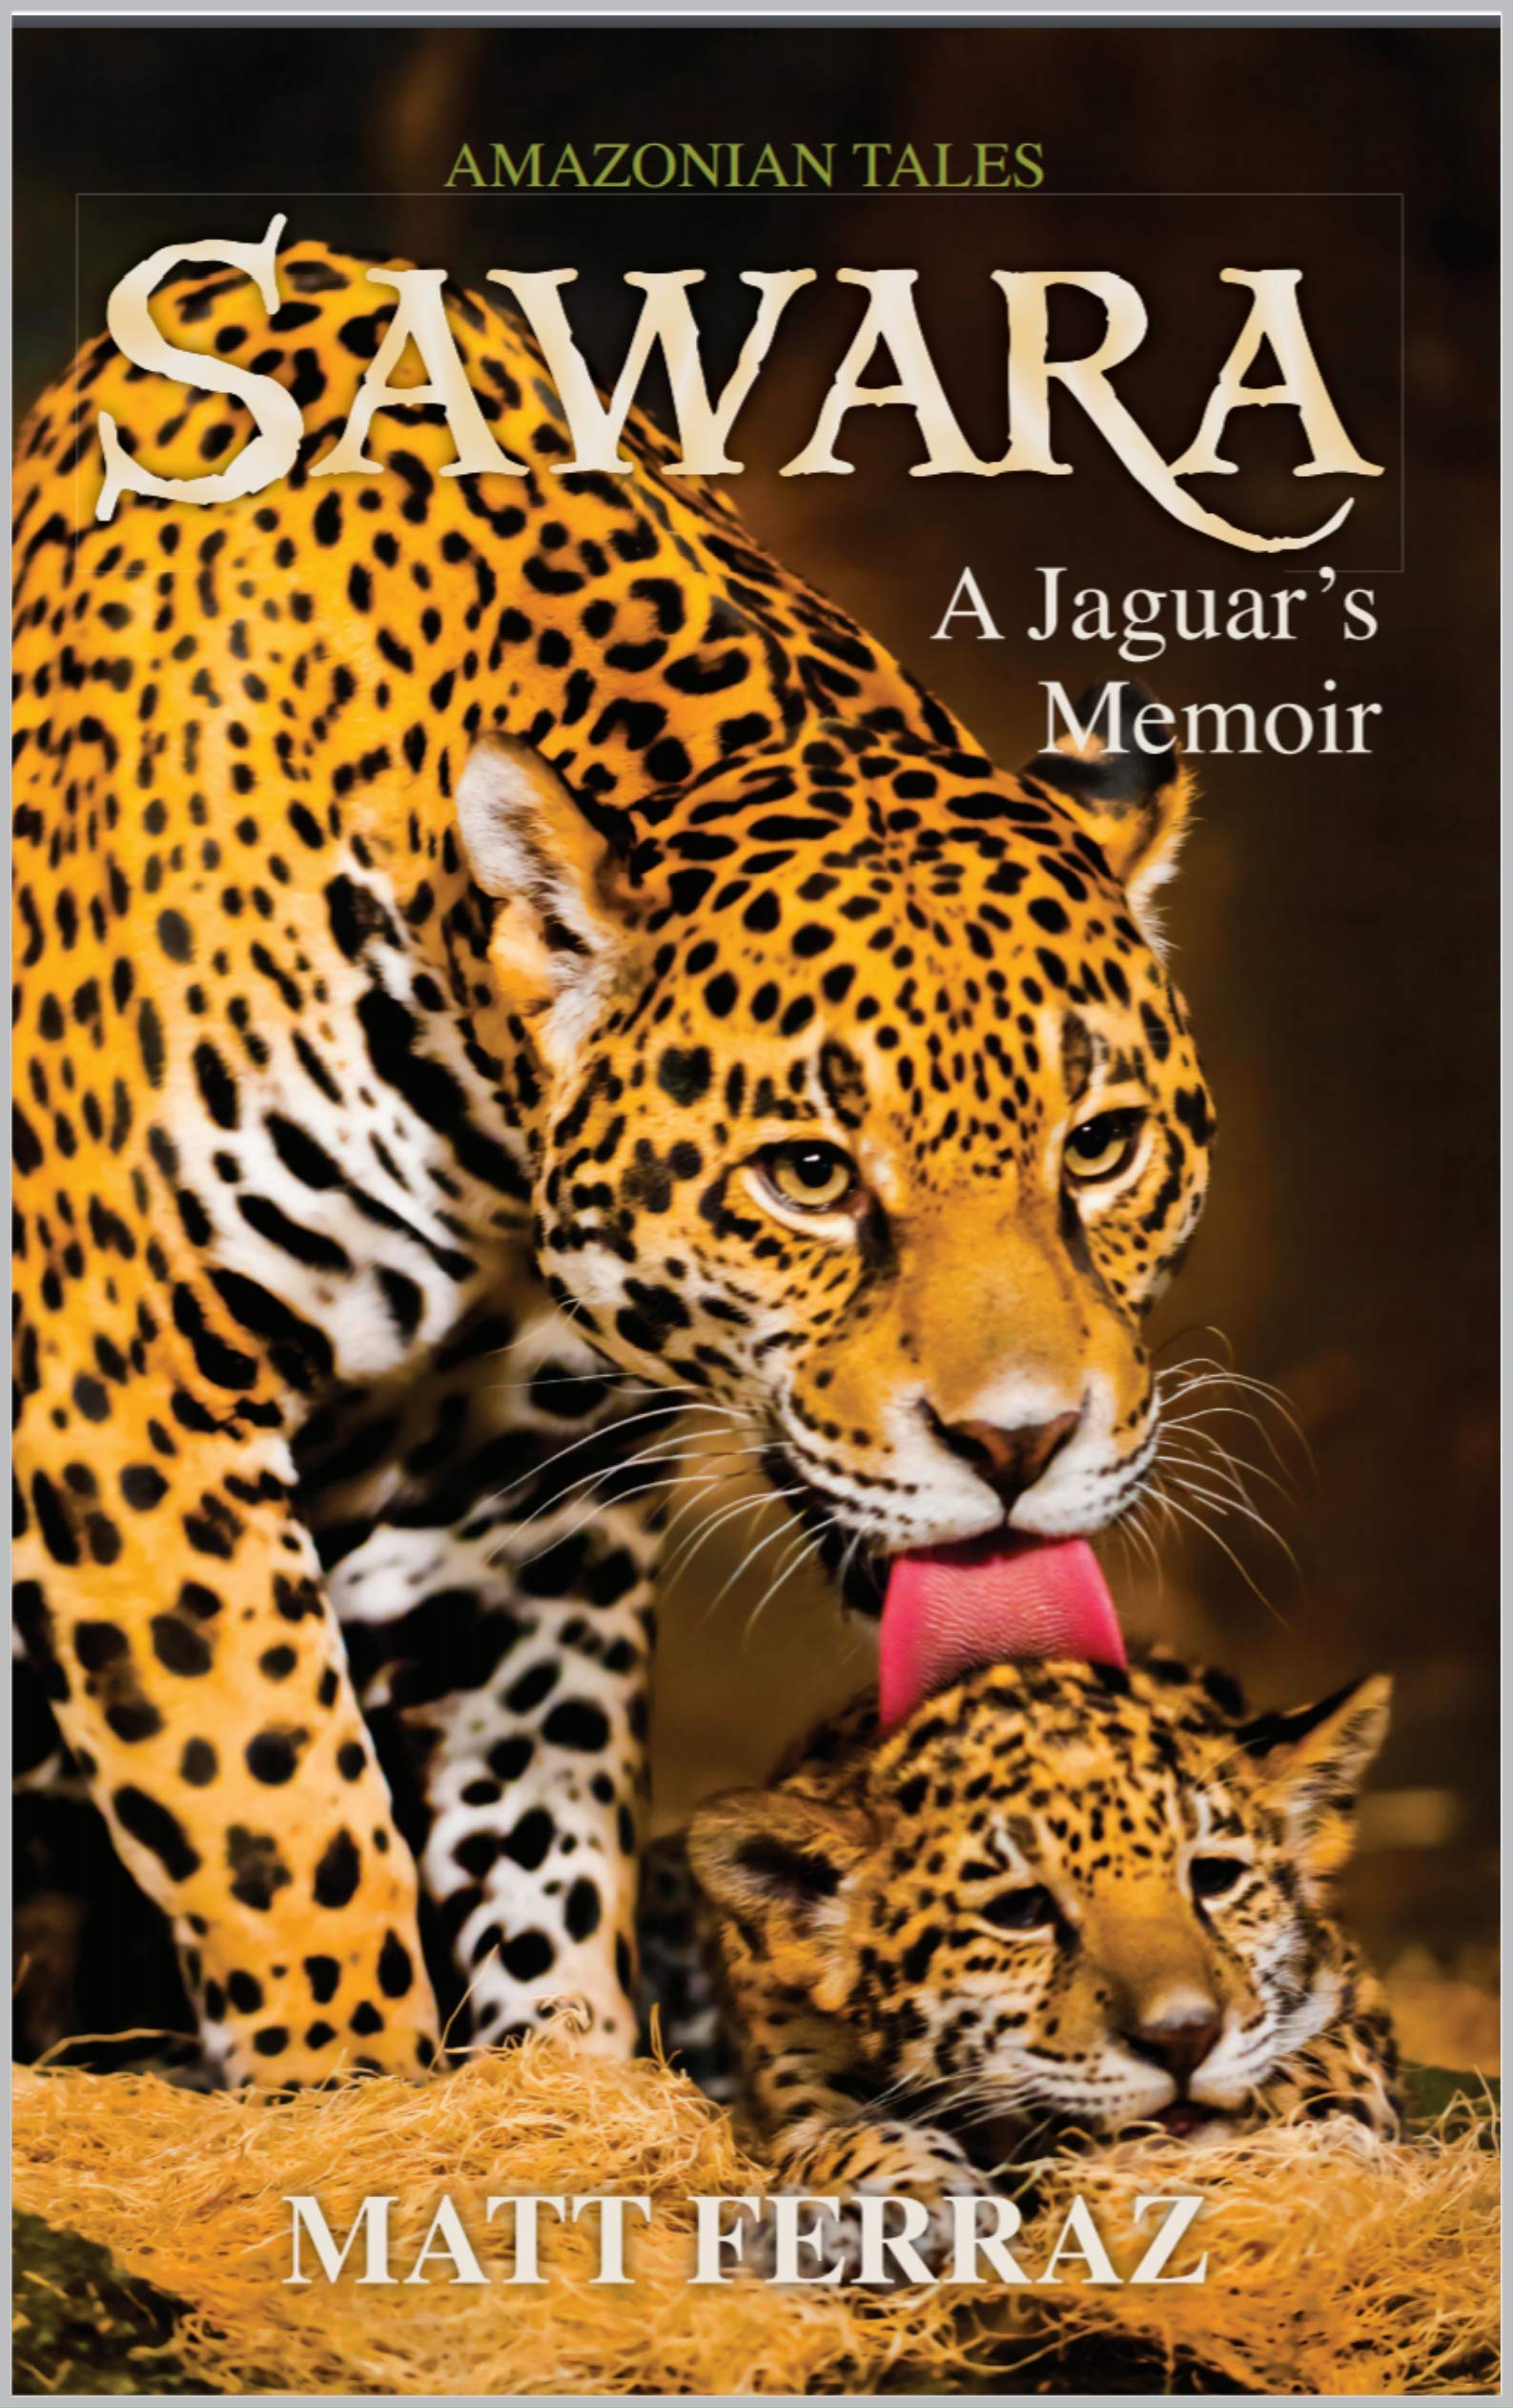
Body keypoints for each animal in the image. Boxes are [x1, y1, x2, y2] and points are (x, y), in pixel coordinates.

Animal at [13, 236, 1213, 2088]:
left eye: (1097, 1147)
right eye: (806, 1175)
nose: (1019, 1445)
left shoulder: (525, 1505)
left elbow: (540, 1835)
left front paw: (568, 2086)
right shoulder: (136, 1414)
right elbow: (290, 1821)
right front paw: (347, 2098)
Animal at [682, 1654, 1399, 2271]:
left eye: (1215, 1877)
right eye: (1022, 1911)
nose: (1183, 2037)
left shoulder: (1353, 2002)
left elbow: (1323, 2077)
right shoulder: (795, 2085)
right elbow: (849, 2139)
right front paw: (917, 2203)